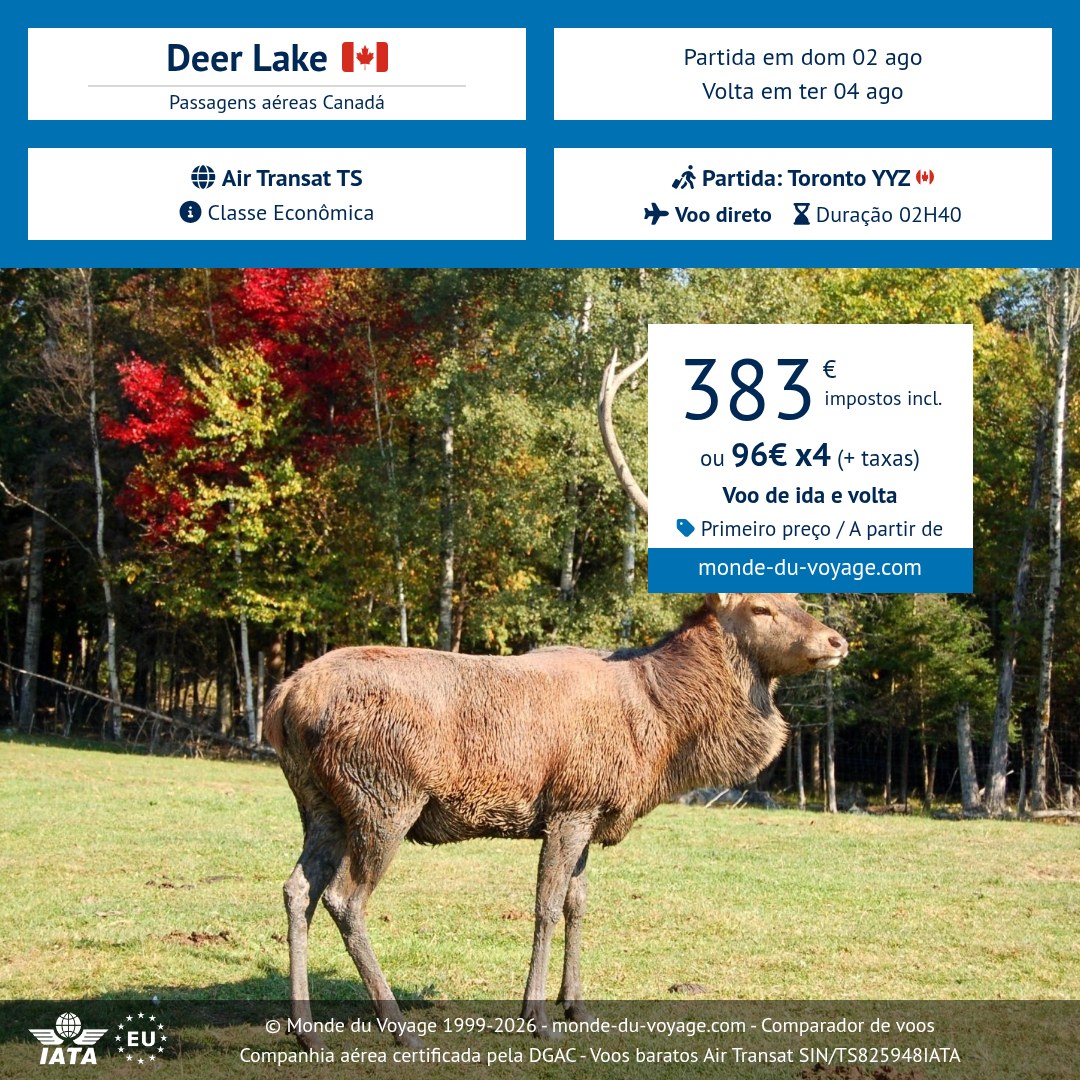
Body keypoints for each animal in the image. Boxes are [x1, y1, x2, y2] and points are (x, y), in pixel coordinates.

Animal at [265, 349, 848, 1047]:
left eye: (796, 594)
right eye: (761, 606)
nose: (837, 639)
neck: (658, 727)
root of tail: (283, 699)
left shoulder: (595, 810)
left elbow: (578, 902)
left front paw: (579, 1006)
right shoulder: (573, 801)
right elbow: (544, 905)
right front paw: (537, 1014)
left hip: (318, 798)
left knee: (296, 885)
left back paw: (305, 1027)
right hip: (384, 794)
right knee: (344, 896)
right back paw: (398, 1024)